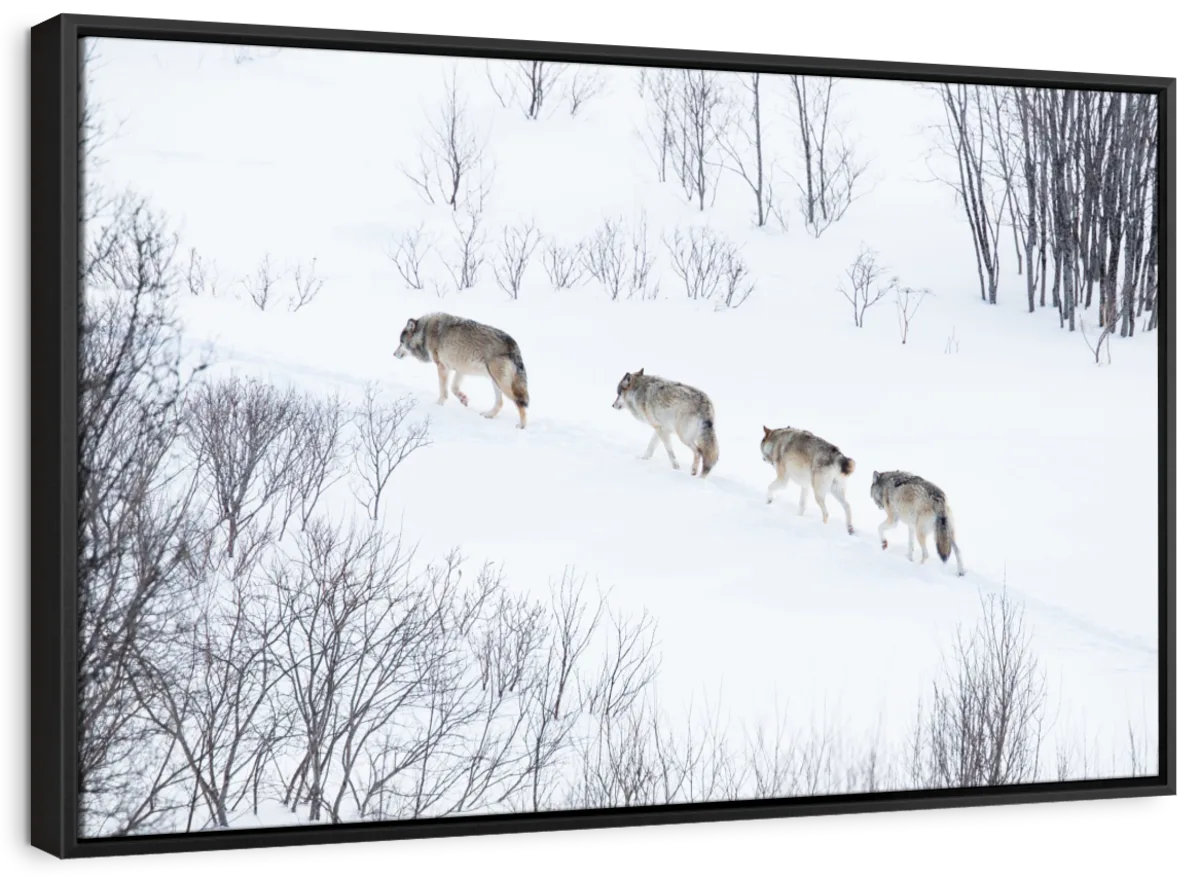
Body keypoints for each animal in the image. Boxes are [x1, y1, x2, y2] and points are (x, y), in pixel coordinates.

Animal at [393, 313, 529, 428]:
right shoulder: (460, 369)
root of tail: (512, 344)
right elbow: (454, 388)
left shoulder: (442, 367)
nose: (393, 354)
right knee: (500, 403)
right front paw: (463, 399)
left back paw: (521, 426)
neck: (424, 333)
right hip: (495, 382)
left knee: (519, 403)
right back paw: (488, 415)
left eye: (401, 342)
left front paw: (438, 405)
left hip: (501, 384)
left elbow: (443, 391)